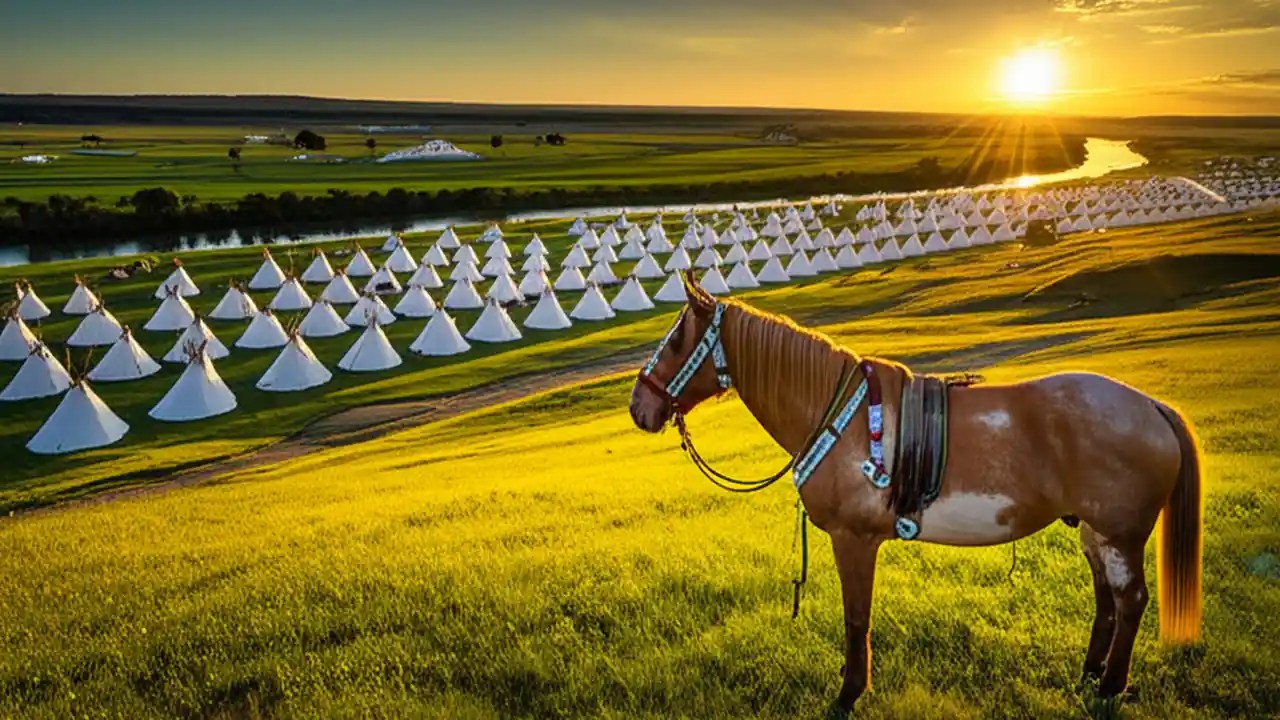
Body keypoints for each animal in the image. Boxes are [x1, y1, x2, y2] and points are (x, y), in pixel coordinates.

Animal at [629, 271, 1202, 714]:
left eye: (677, 342)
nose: (639, 406)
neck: (840, 415)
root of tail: (1151, 407)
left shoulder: (854, 539)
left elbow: (856, 617)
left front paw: (849, 694)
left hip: (1120, 534)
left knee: (1130, 601)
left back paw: (1109, 688)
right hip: (1095, 531)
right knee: (1107, 599)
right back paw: (1090, 674)